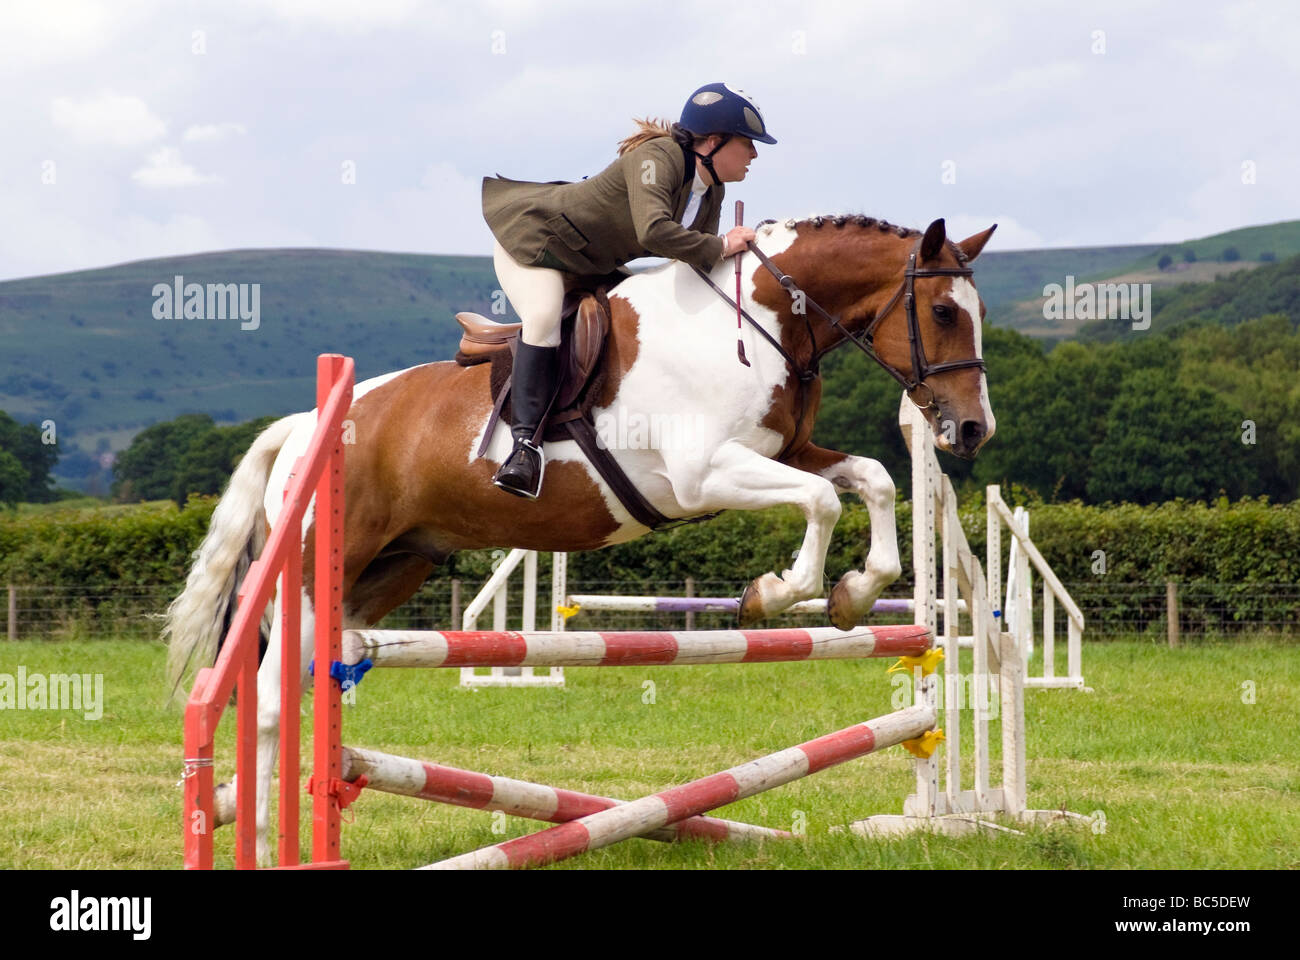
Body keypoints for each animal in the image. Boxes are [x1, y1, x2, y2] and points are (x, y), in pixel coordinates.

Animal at [165, 214, 997, 863]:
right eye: (943, 312)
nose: (972, 430)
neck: (759, 325)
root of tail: (305, 423)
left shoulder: (786, 451)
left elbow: (873, 479)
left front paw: (854, 595)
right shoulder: (704, 474)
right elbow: (824, 499)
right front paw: (774, 595)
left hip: (388, 573)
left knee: (301, 678)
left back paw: (238, 802)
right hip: (321, 566)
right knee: (268, 697)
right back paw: (258, 834)